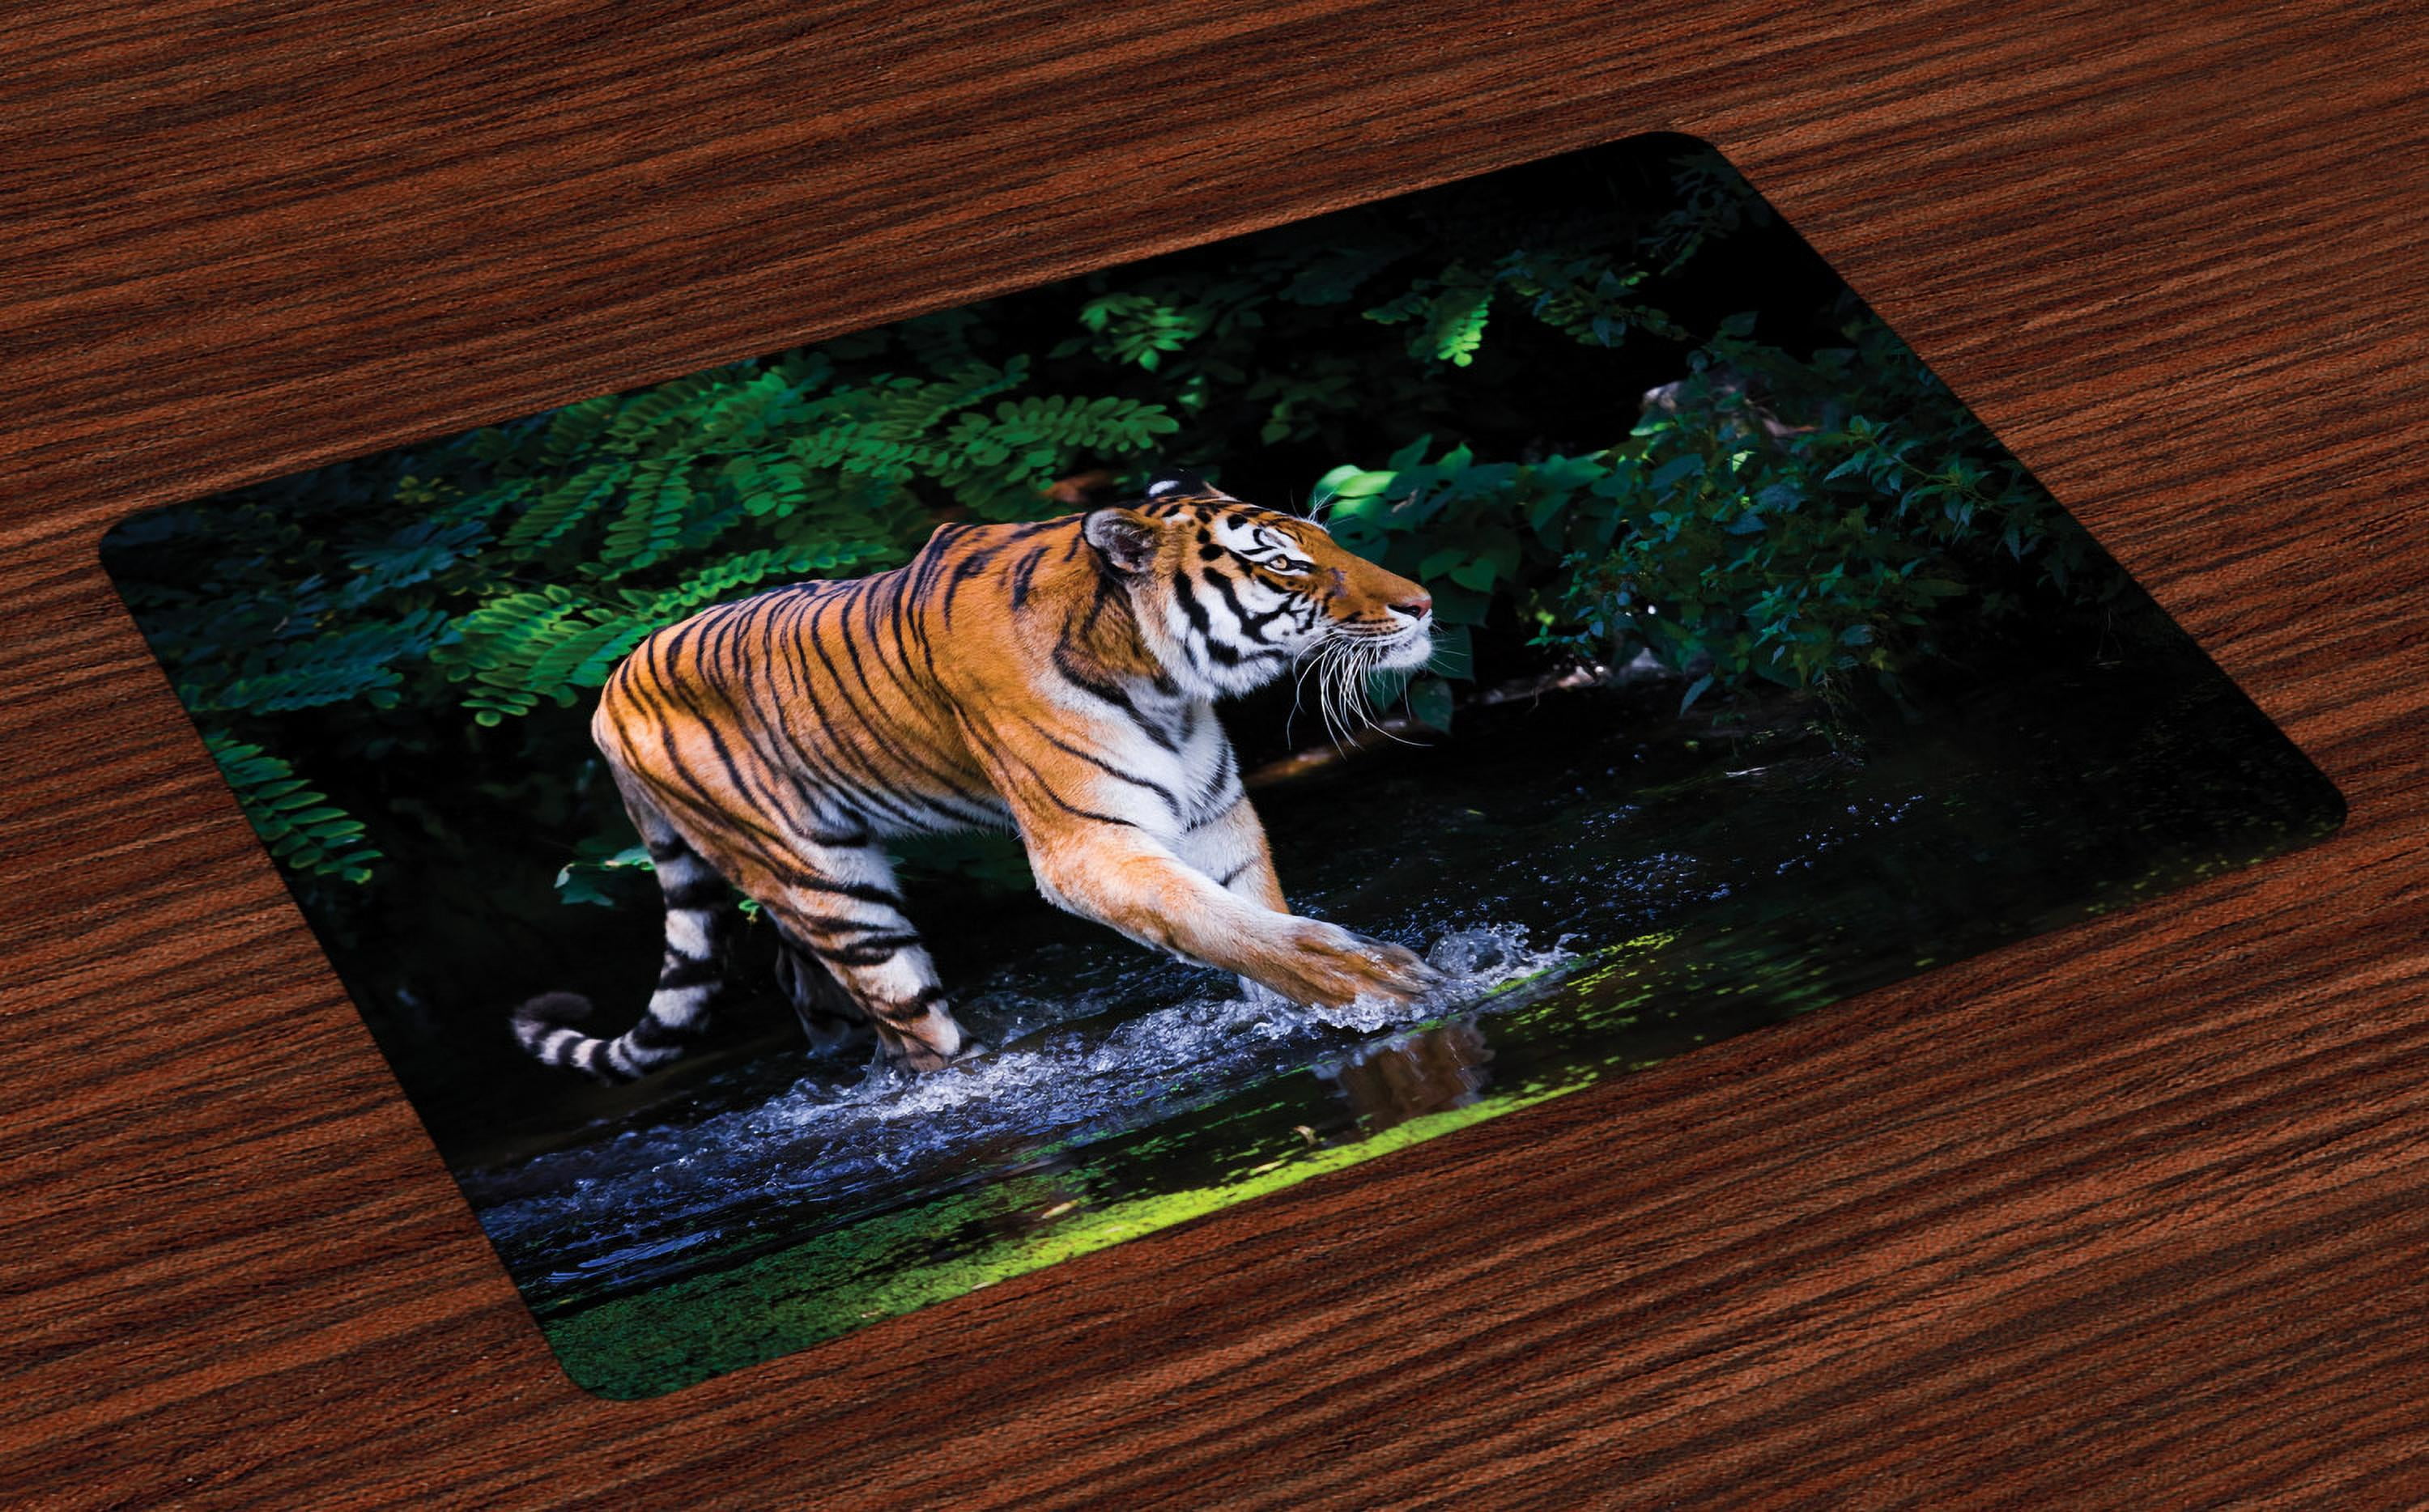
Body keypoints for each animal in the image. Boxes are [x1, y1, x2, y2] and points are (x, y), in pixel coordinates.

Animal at [513, 472, 1446, 1081]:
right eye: (1283, 563)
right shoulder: (1087, 848)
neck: (1162, 679)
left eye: (1327, 537)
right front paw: (1375, 983)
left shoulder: (1214, 813)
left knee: (809, 990)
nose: (1423, 604)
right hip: (838, 893)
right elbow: (1232, 928)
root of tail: (607, 692)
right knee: (915, 1036)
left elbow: (1252, 920)